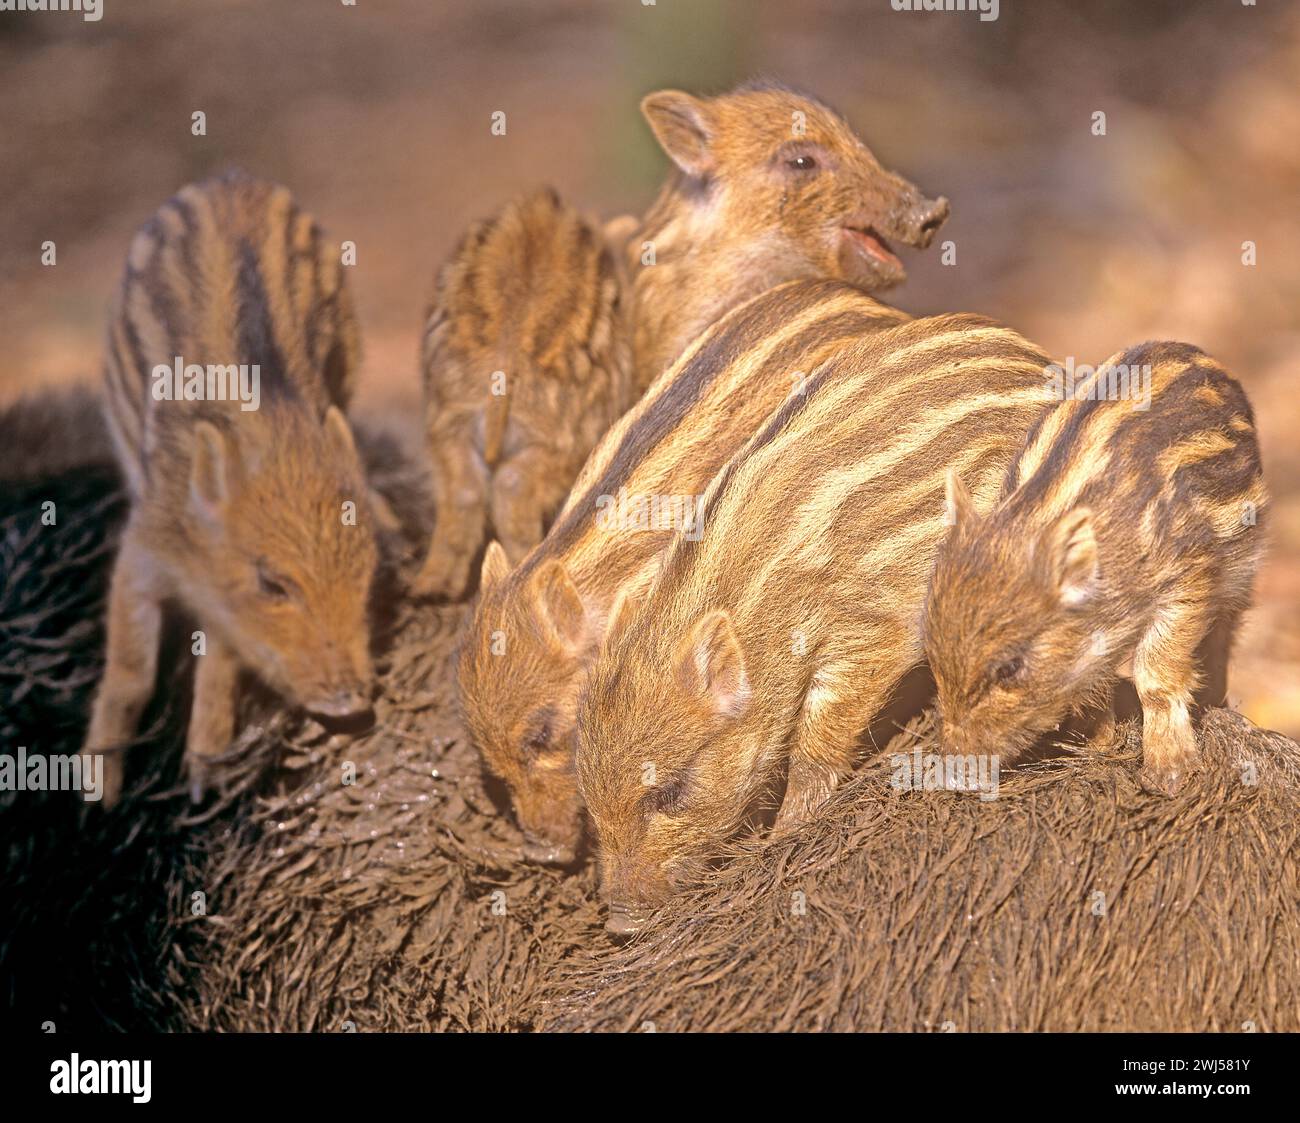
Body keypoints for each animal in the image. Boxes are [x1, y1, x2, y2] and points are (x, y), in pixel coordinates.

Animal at [82, 171, 381, 807]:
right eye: (272, 583)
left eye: (368, 576)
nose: (354, 705)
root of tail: (234, 180)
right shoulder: (143, 549)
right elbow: (129, 670)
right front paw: (97, 791)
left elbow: (217, 665)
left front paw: (203, 778)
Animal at [412, 188, 632, 599]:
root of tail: (507, 348)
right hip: (560, 439)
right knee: (512, 487)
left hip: (447, 418)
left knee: (463, 492)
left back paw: (431, 589)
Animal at [574, 314, 1055, 932]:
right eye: (590, 802)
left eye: (671, 792)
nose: (620, 924)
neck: (758, 604)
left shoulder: (866, 633)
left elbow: (816, 743)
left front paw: (786, 834)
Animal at [924, 341, 1267, 795]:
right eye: (933, 657)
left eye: (1010, 667)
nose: (955, 775)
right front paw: (1099, 746)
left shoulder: (1189, 574)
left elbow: (1156, 671)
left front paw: (1169, 776)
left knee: (1226, 630)